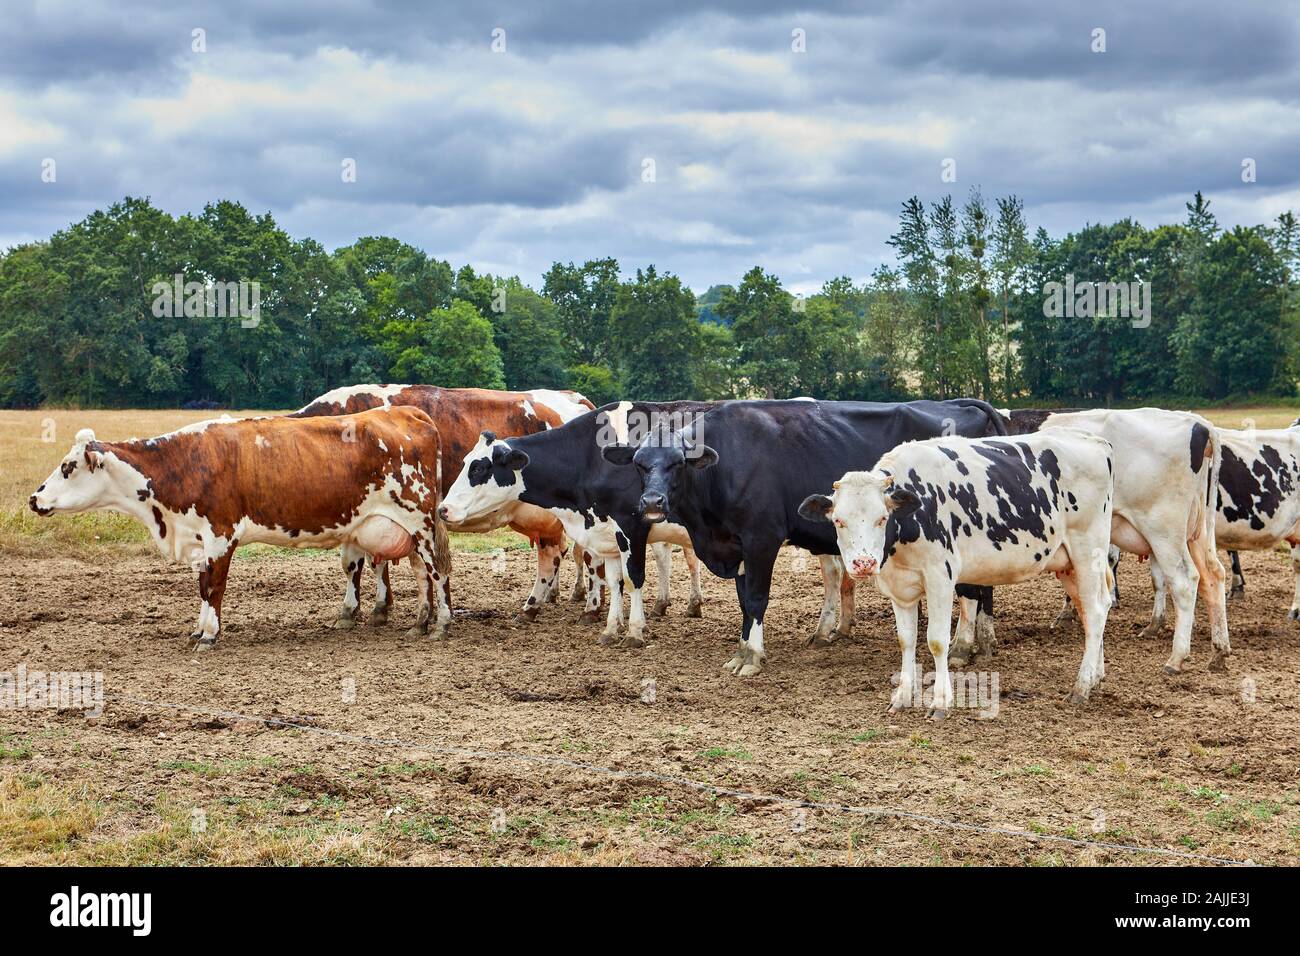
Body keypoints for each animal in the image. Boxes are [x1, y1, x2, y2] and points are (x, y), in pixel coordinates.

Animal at [28, 408, 452, 648]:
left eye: (67, 467)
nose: (34, 499)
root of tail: (412, 415)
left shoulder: (220, 534)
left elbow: (214, 587)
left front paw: (210, 636)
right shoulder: (199, 539)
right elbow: (202, 587)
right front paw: (199, 629)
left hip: (420, 522)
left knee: (439, 572)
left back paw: (442, 623)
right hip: (405, 530)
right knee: (422, 575)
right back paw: (419, 622)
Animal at [602, 399, 1008, 676]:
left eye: (677, 463)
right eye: (639, 464)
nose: (652, 502)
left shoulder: (761, 538)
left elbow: (756, 599)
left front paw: (752, 656)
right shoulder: (736, 544)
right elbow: (743, 600)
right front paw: (742, 649)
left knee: (971, 591)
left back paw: (963, 646)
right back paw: (983, 641)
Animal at [800, 429, 1116, 711]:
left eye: (881, 518)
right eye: (838, 521)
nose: (863, 563)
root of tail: (1094, 440)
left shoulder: (940, 577)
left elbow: (937, 641)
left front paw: (941, 701)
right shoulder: (899, 587)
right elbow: (906, 640)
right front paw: (902, 697)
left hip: (1088, 552)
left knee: (1096, 611)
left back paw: (1082, 687)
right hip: (1068, 564)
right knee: (1092, 611)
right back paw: (1096, 676)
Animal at [1034, 408, 1229, 675]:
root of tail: (1198, 423)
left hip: (1164, 530)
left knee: (1185, 580)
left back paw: (1176, 658)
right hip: (1196, 530)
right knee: (1213, 575)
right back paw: (1219, 651)